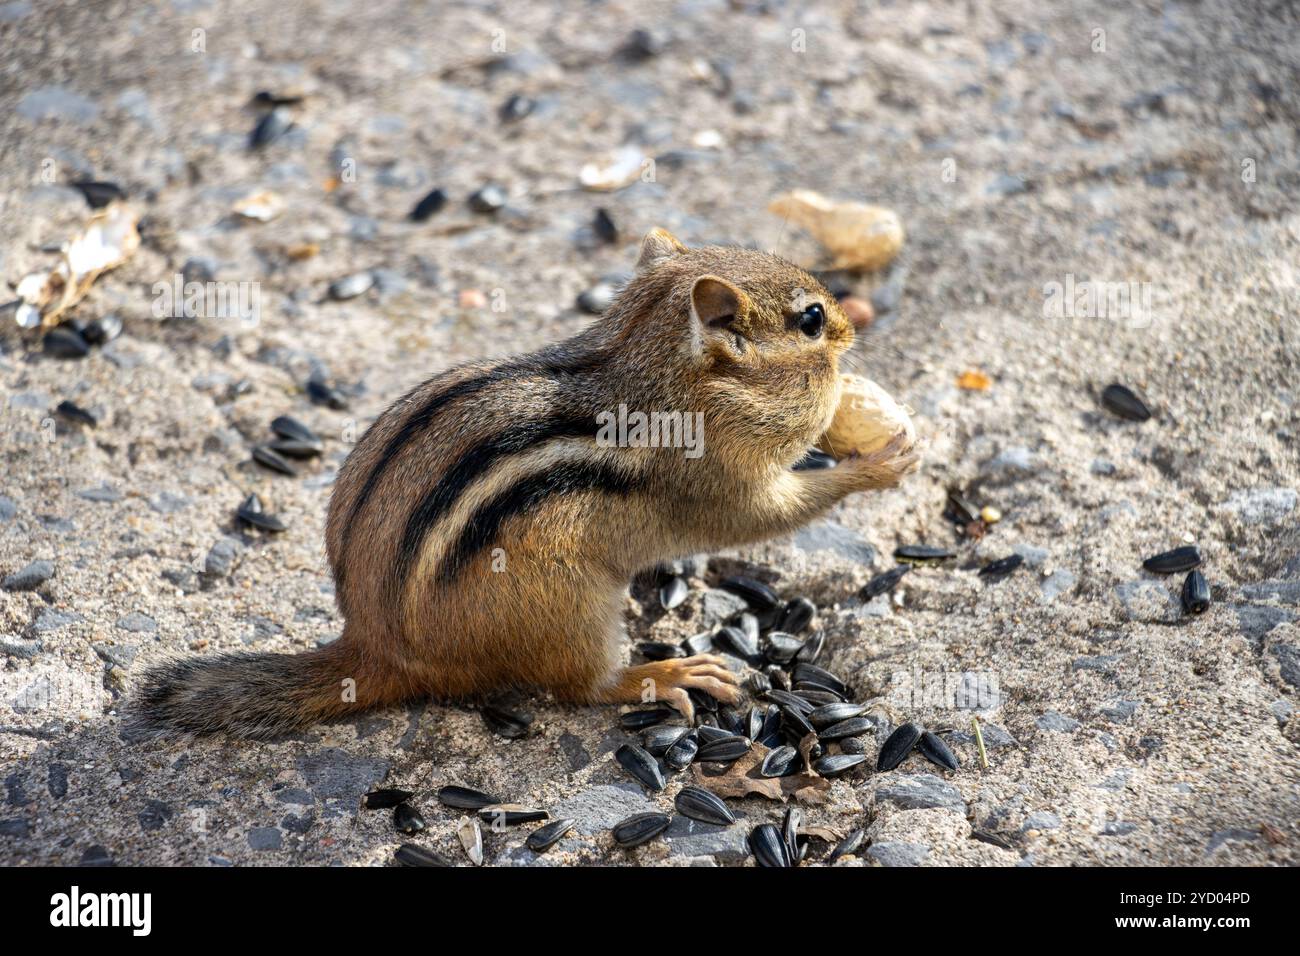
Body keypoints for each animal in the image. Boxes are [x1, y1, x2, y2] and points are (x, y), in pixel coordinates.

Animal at [136, 228, 919, 738]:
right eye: (811, 319)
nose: (850, 328)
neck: (657, 375)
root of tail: (375, 647)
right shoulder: (720, 482)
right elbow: (770, 515)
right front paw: (881, 459)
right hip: (572, 606)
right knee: (582, 687)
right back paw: (665, 674)